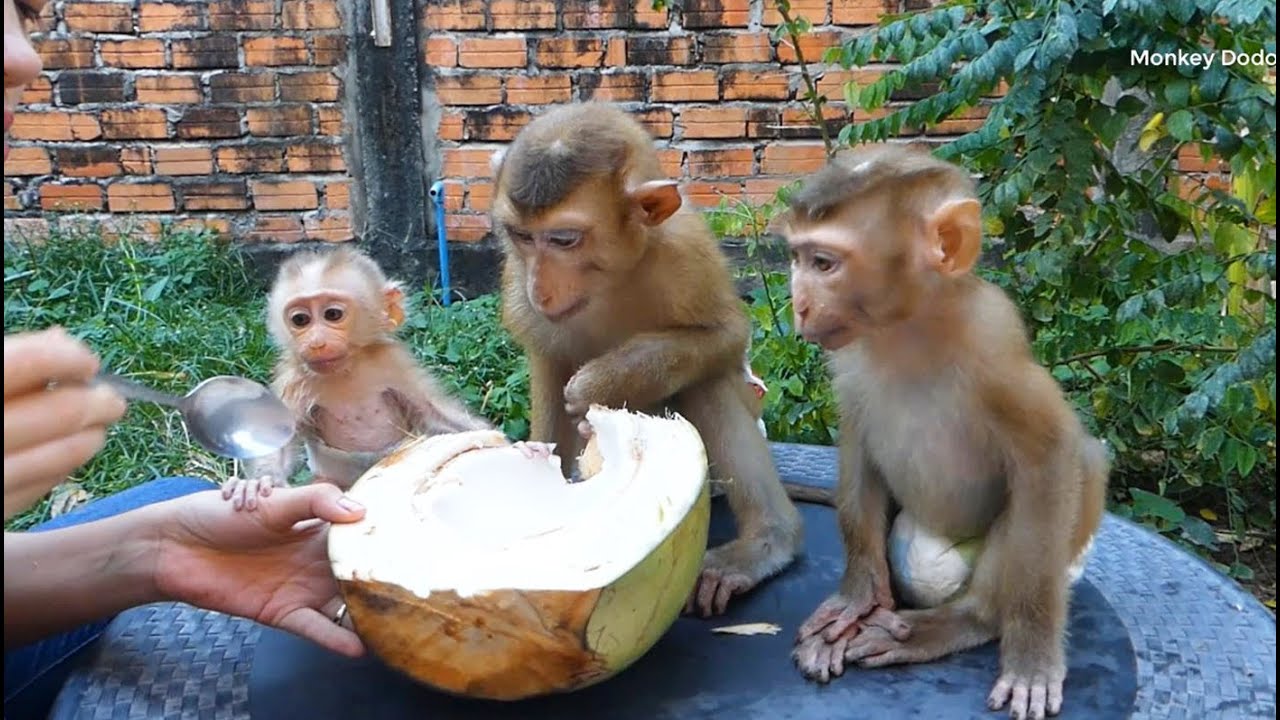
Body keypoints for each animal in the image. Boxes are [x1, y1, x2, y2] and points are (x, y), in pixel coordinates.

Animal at [222, 247, 549, 511]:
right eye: (300, 320)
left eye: (332, 314)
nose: (315, 343)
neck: (346, 370)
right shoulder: (294, 377)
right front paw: (258, 483)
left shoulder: (392, 362)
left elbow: (434, 415)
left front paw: (514, 446)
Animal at [489, 101, 804, 617]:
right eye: (521, 236)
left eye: (564, 239)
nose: (541, 287)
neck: (610, 279)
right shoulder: (517, 277)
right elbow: (549, 360)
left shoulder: (687, 253)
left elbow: (725, 337)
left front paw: (604, 384)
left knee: (708, 380)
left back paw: (766, 541)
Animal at [773, 144, 1109, 720]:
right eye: (796, 258)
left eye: (823, 264)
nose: (800, 304)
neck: (906, 331)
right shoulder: (849, 358)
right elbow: (859, 443)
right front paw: (858, 596)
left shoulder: (993, 342)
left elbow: (1051, 455)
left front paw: (1032, 655)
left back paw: (963, 621)